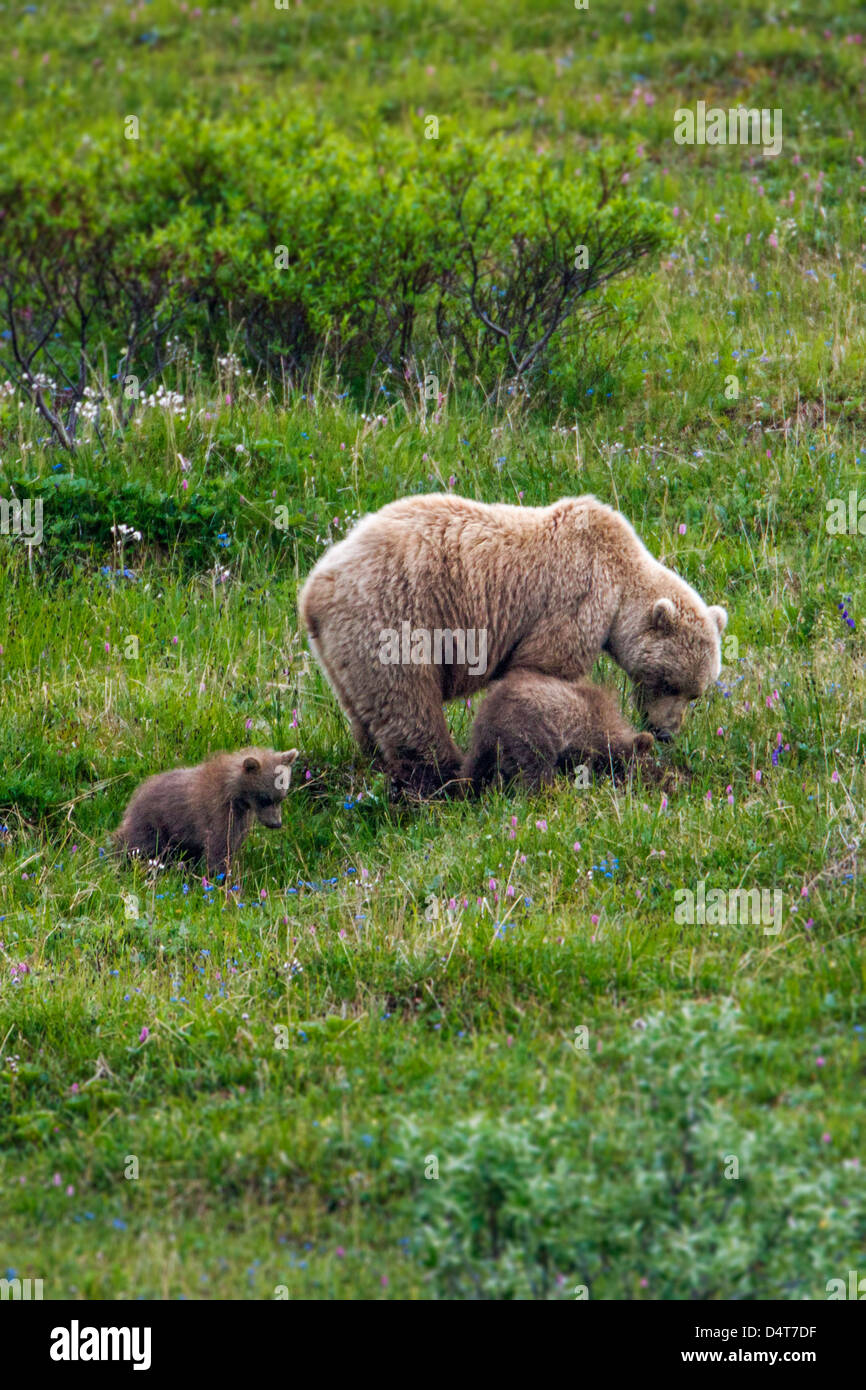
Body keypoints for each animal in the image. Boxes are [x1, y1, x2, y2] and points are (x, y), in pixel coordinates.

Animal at [114, 747, 299, 878]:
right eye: (264, 798)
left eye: (281, 797)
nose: (276, 823)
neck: (235, 793)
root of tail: (135, 796)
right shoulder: (216, 811)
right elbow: (219, 846)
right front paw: (221, 879)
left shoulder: (240, 816)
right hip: (153, 823)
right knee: (139, 845)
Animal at [462, 670, 655, 793]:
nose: (644, 787)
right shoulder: (580, 738)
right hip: (528, 734)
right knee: (536, 770)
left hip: (483, 739)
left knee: (475, 769)